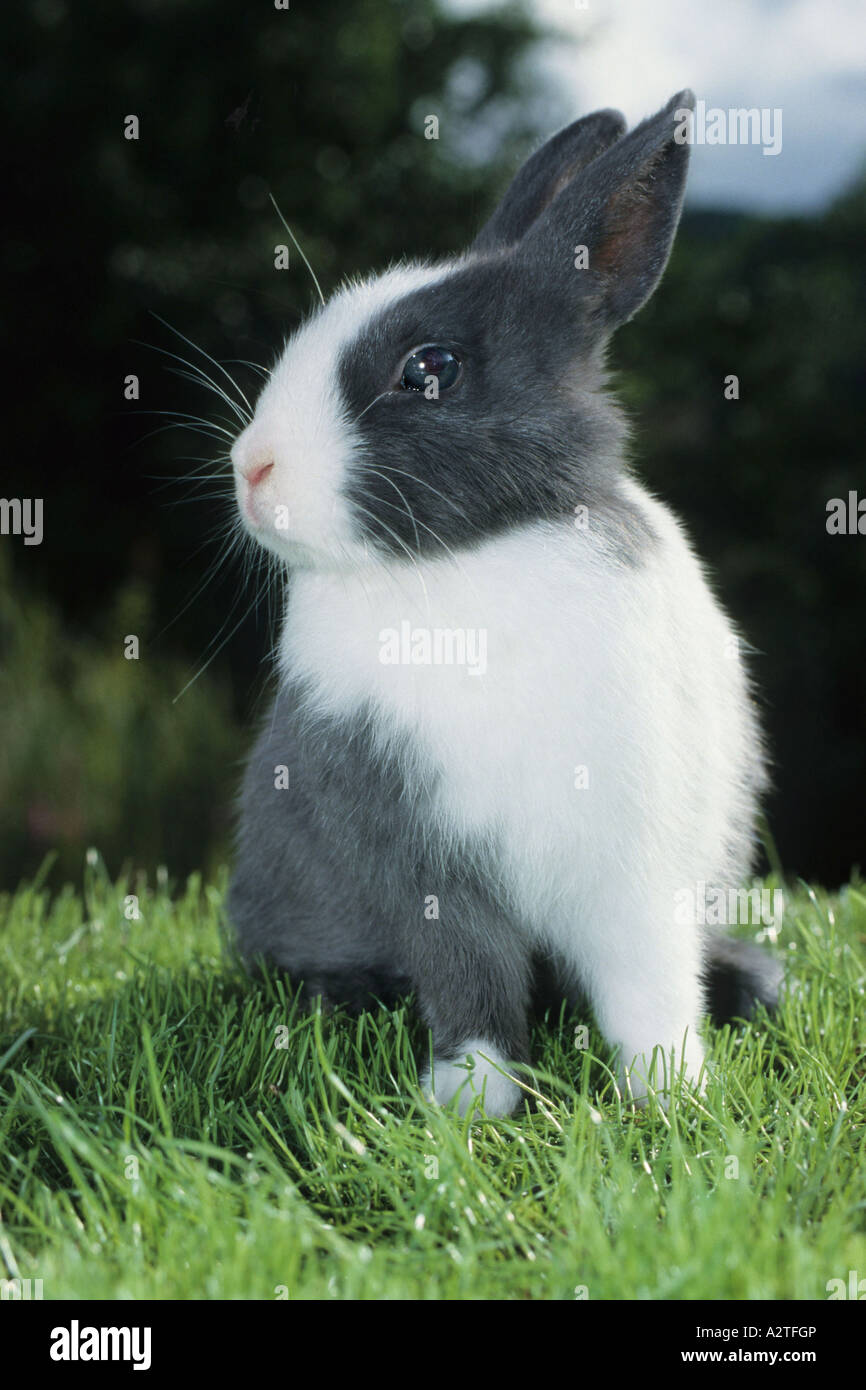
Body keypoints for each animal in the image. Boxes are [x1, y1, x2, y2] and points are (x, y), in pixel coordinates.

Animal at [226, 89, 783, 1115]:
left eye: (430, 368)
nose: (252, 469)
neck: (469, 558)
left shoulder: (635, 859)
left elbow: (647, 982)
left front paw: (672, 1092)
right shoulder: (416, 852)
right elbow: (469, 976)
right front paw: (468, 1098)